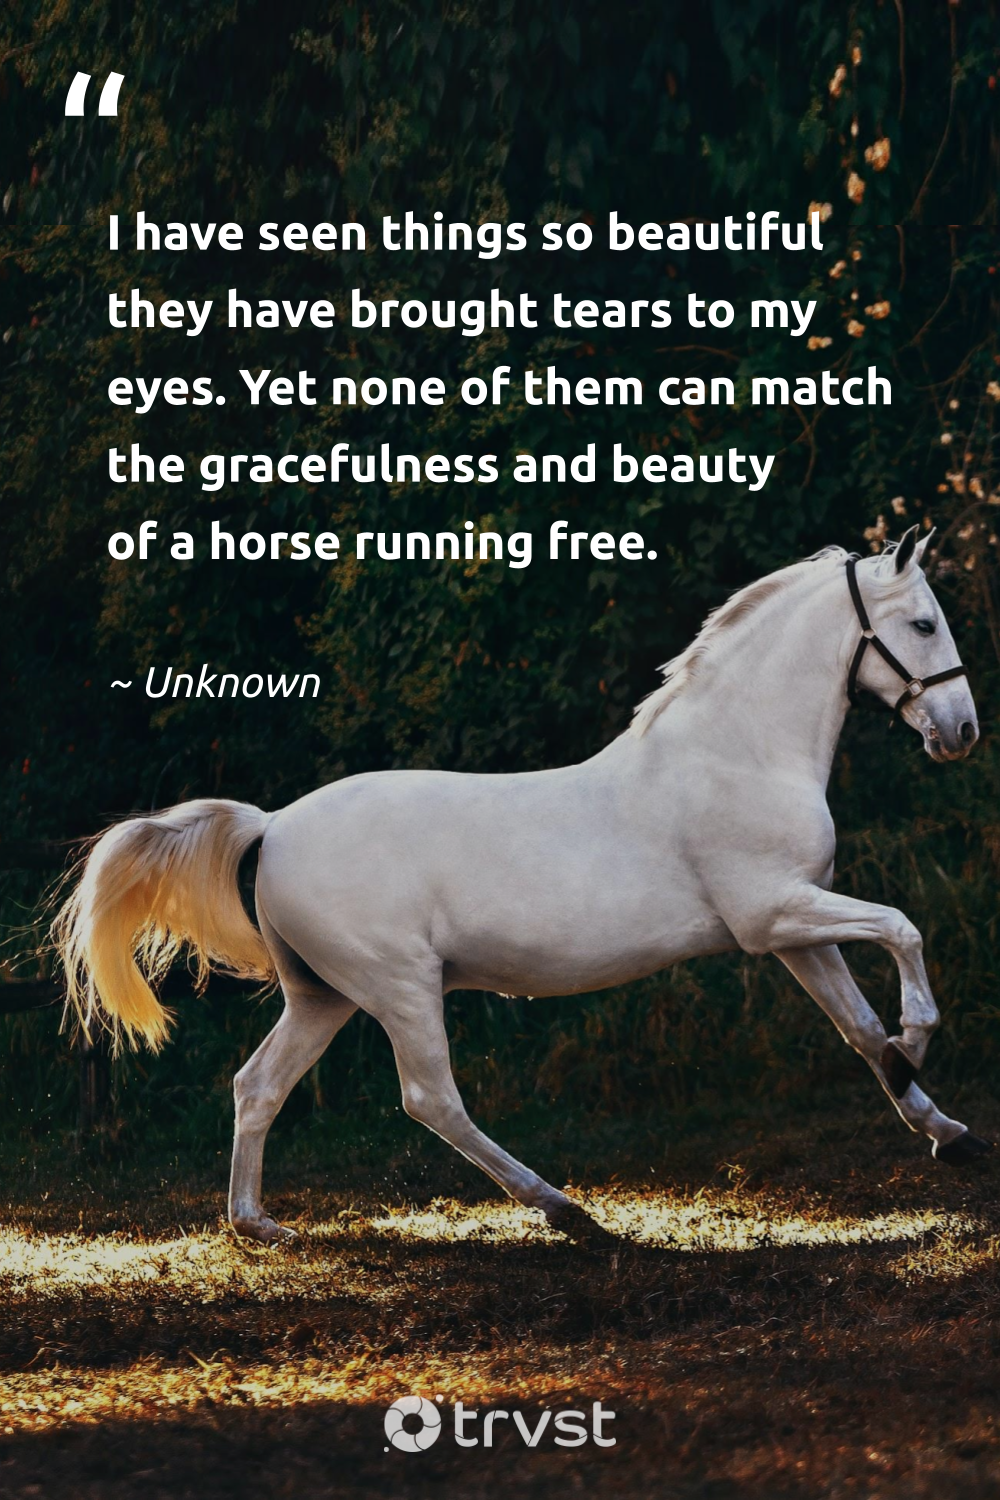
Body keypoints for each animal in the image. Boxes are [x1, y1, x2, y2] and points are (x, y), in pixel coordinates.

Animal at [53, 526, 989, 1244]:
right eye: (923, 622)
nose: (962, 732)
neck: (738, 754)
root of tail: (274, 825)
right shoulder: (774, 916)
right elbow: (902, 931)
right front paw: (919, 1041)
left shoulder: (798, 931)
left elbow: (859, 1031)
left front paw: (945, 1130)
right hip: (399, 986)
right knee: (431, 1098)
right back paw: (564, 1209)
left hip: (323, 995)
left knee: (258, 1085)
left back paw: (259, 1225)